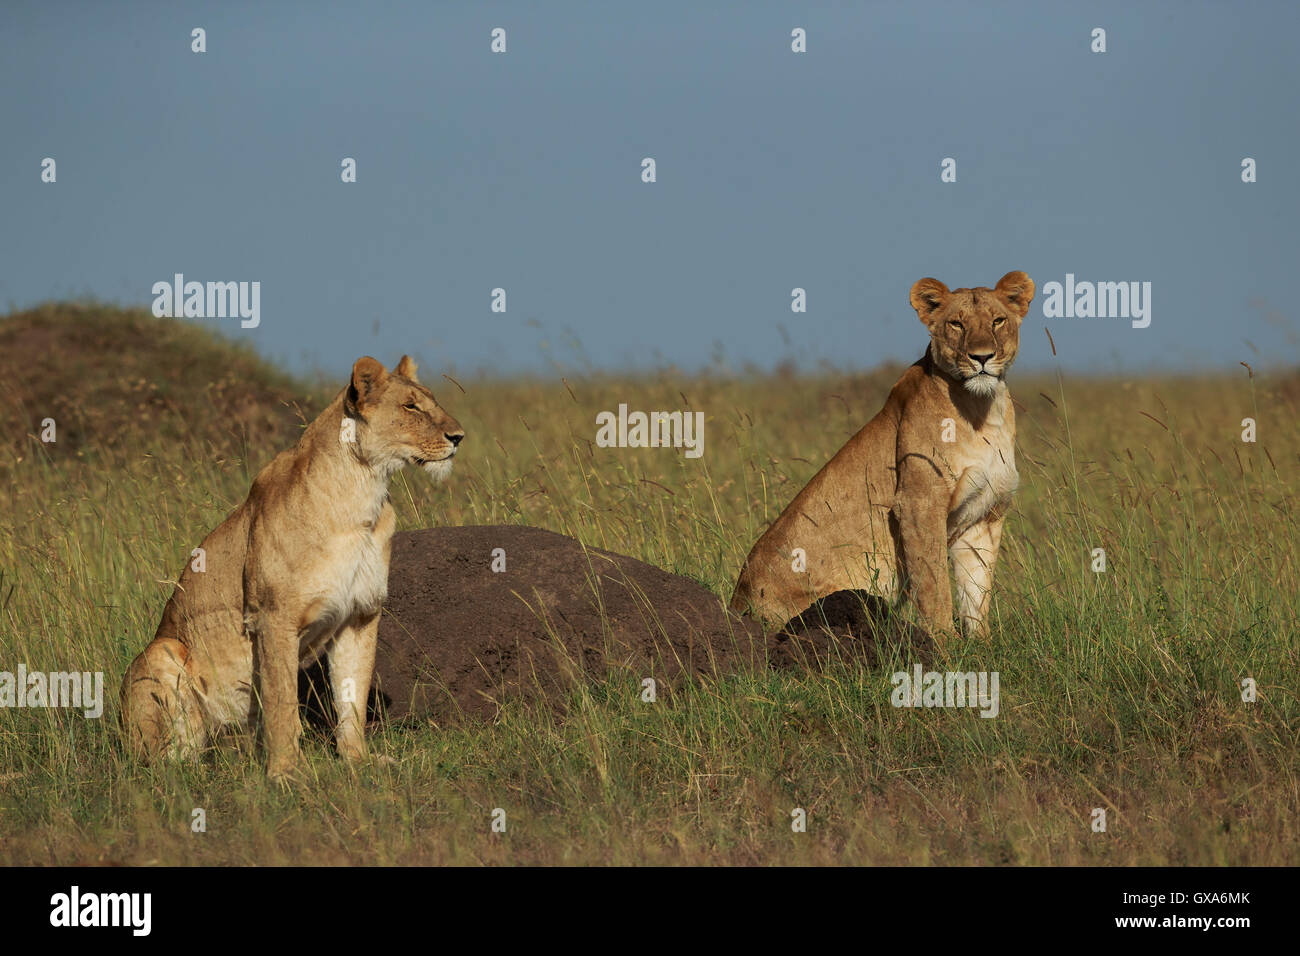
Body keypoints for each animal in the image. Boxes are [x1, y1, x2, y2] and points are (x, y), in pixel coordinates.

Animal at [120, 354, 464, 778]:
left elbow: (352, 693)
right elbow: (282, 700)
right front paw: (287, 774)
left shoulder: (360, 615)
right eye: (411, 407)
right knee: (167, 762)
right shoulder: (273, 617)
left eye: (431, 401)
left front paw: (358, 761)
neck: (362, 489)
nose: (458, 436)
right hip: (165, 651)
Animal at [730, 271, 1036, 647]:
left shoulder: (985, 513)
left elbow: (976, 589)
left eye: (997, 321)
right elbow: (934, 583)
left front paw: (982, 646)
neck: (983, 410)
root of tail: (735, 605)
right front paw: (944, 645)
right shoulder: (918, 504)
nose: (981, 357)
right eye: (956, 324)